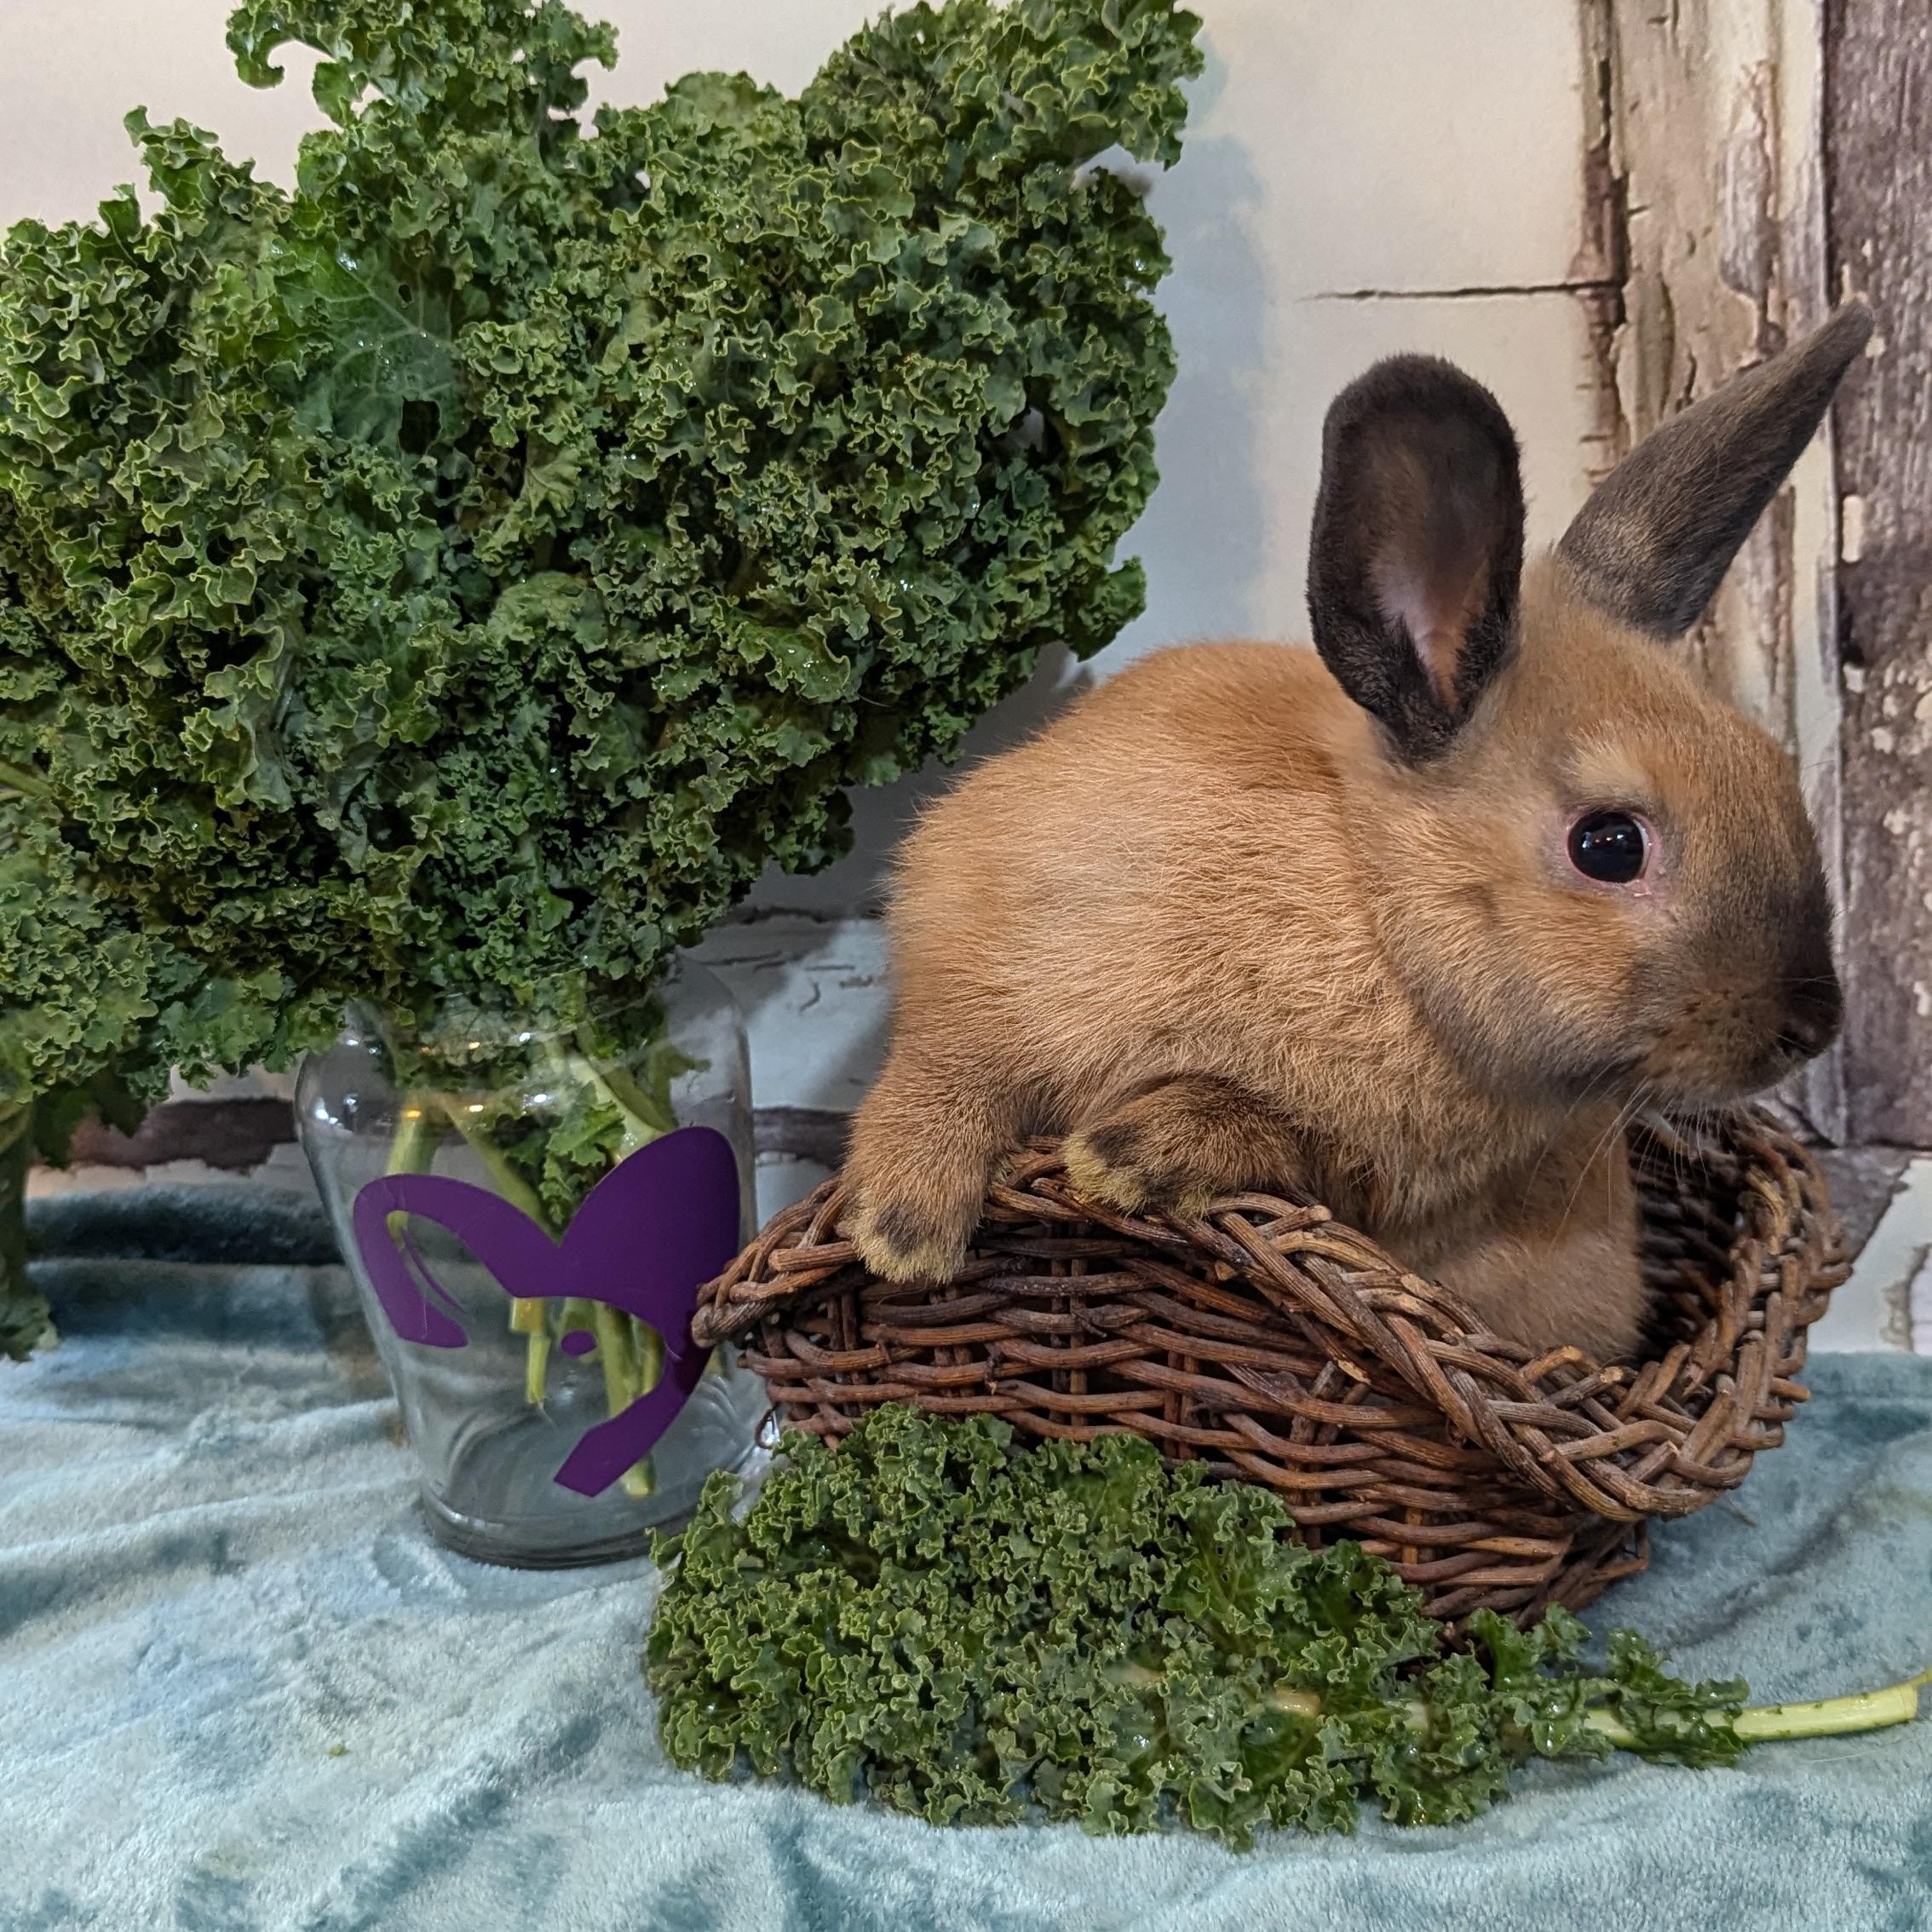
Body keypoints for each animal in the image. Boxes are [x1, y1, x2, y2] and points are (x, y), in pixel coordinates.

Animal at [843, 304, 1871, 1365]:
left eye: (1775, 766)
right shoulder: (972, 940)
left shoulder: (1368, 1182)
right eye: (1610, 846)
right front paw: (901, 1230)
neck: (1372, 909)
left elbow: (1273, 1138)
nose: (1811, 1025)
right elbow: (942, 1071)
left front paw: (1130, 1153)